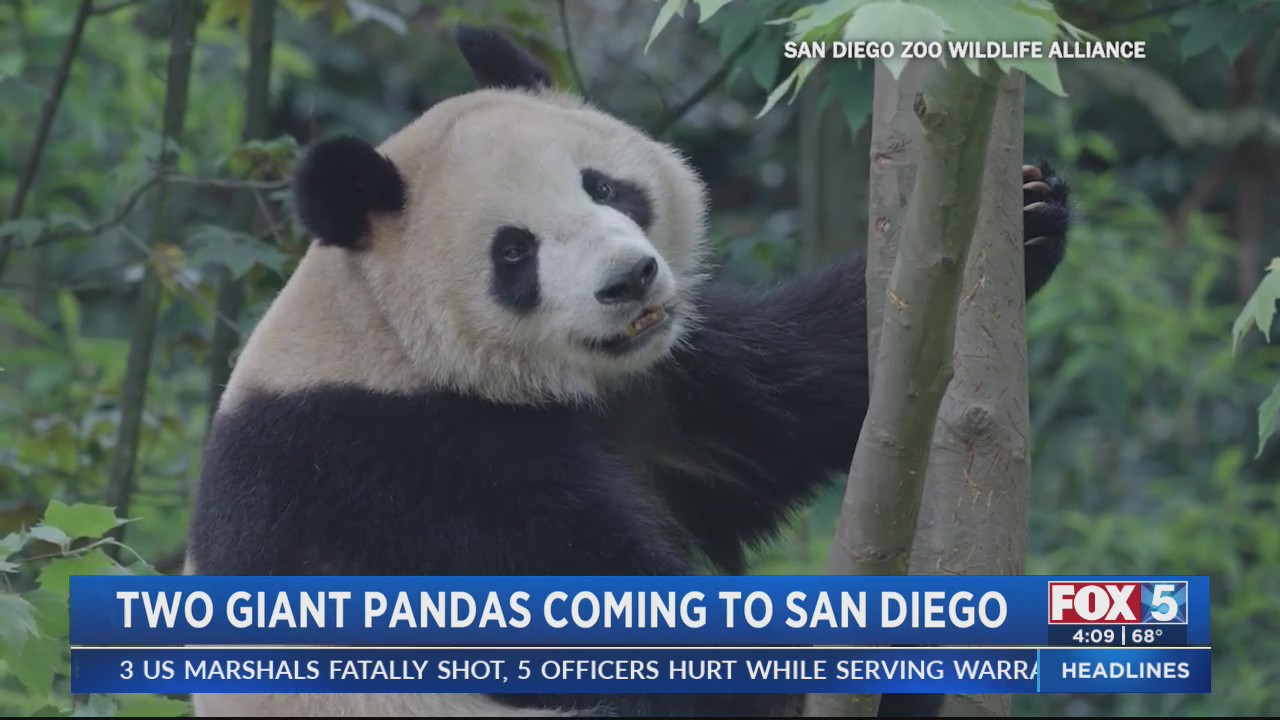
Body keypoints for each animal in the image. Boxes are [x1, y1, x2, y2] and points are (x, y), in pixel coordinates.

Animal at [185, 26, 1072, 718]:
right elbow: (599, 617)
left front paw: (1030, 217)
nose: (629, 280)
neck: (391, 339)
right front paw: (875, 663)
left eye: (605, 186)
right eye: (515, 251)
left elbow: (784, 403)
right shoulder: (396, 465)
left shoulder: (658, 383)